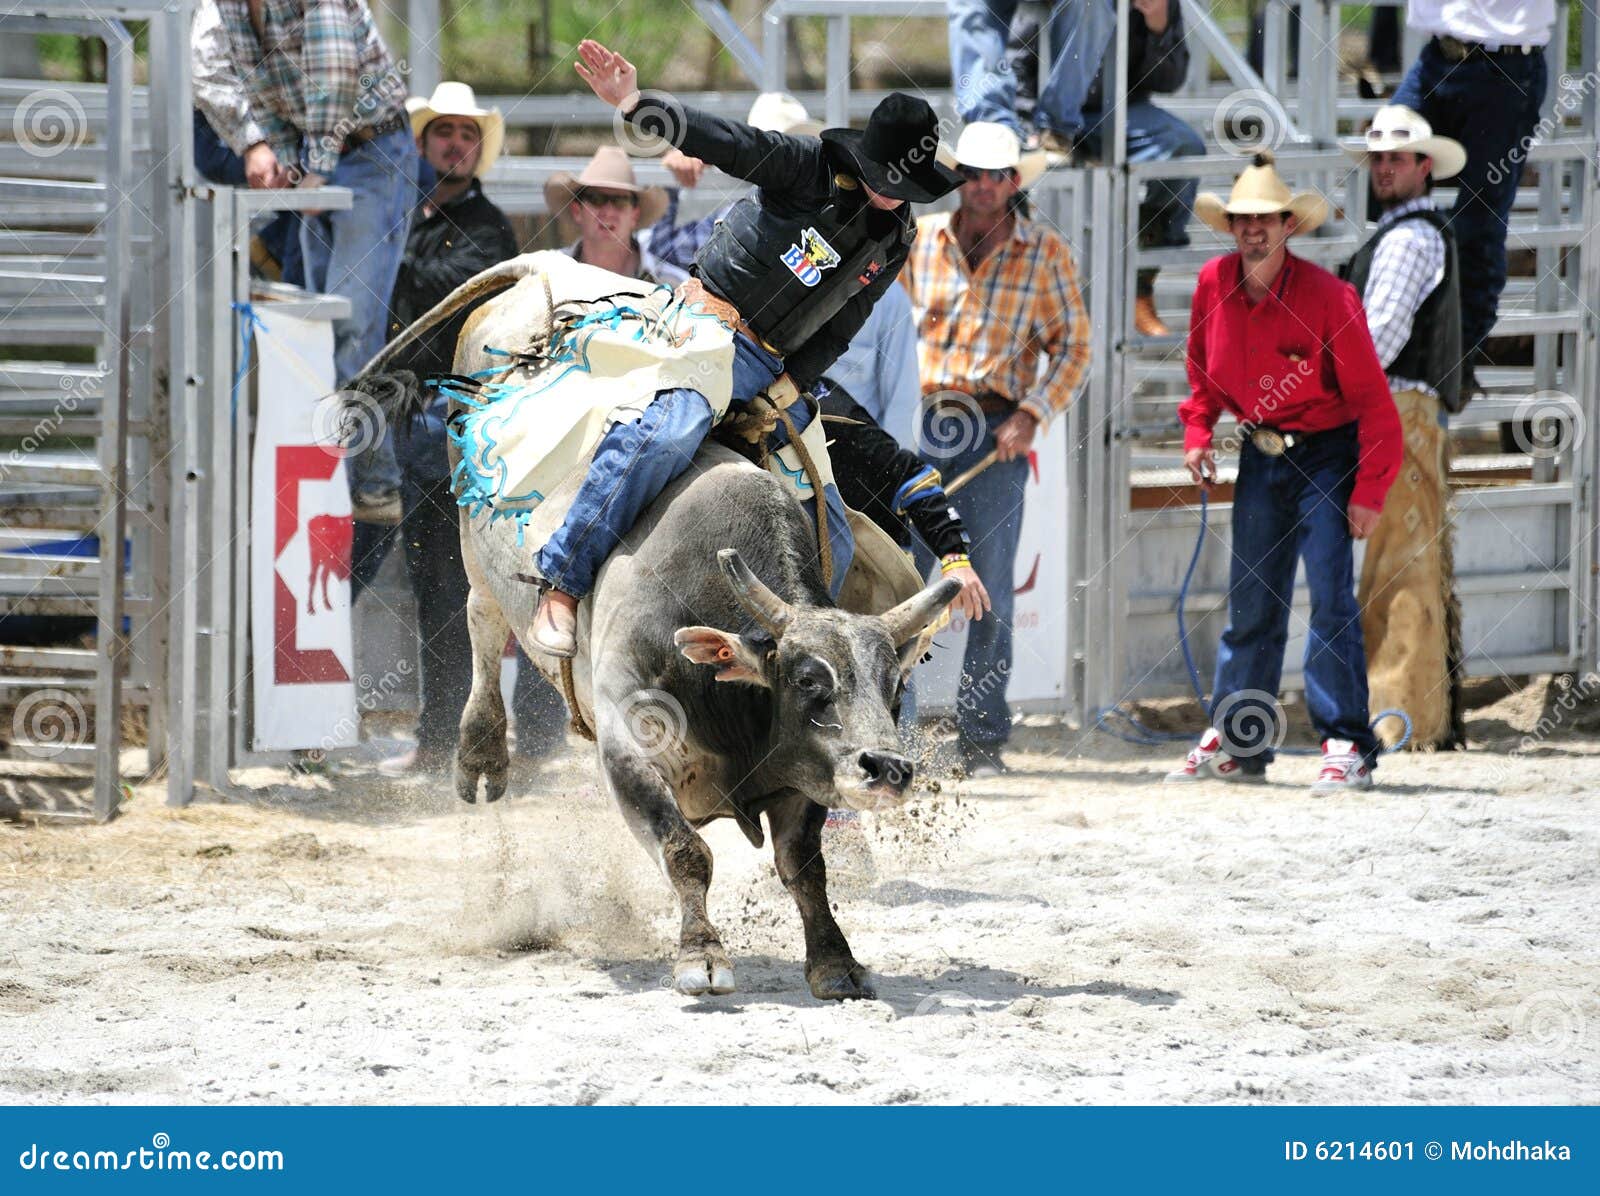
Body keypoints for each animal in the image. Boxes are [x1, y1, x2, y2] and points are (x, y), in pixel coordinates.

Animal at [357, 257, 957, 1001]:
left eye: (894, 687)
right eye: (808, 680)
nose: (889, 768)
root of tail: (551, 266)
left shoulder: (797, 772)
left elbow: (803, 866)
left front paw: (835, 961)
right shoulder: (628, 740)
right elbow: (685, 851)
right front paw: (702, 955)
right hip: (473, 544)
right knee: (482, 623)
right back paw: (482, 754)